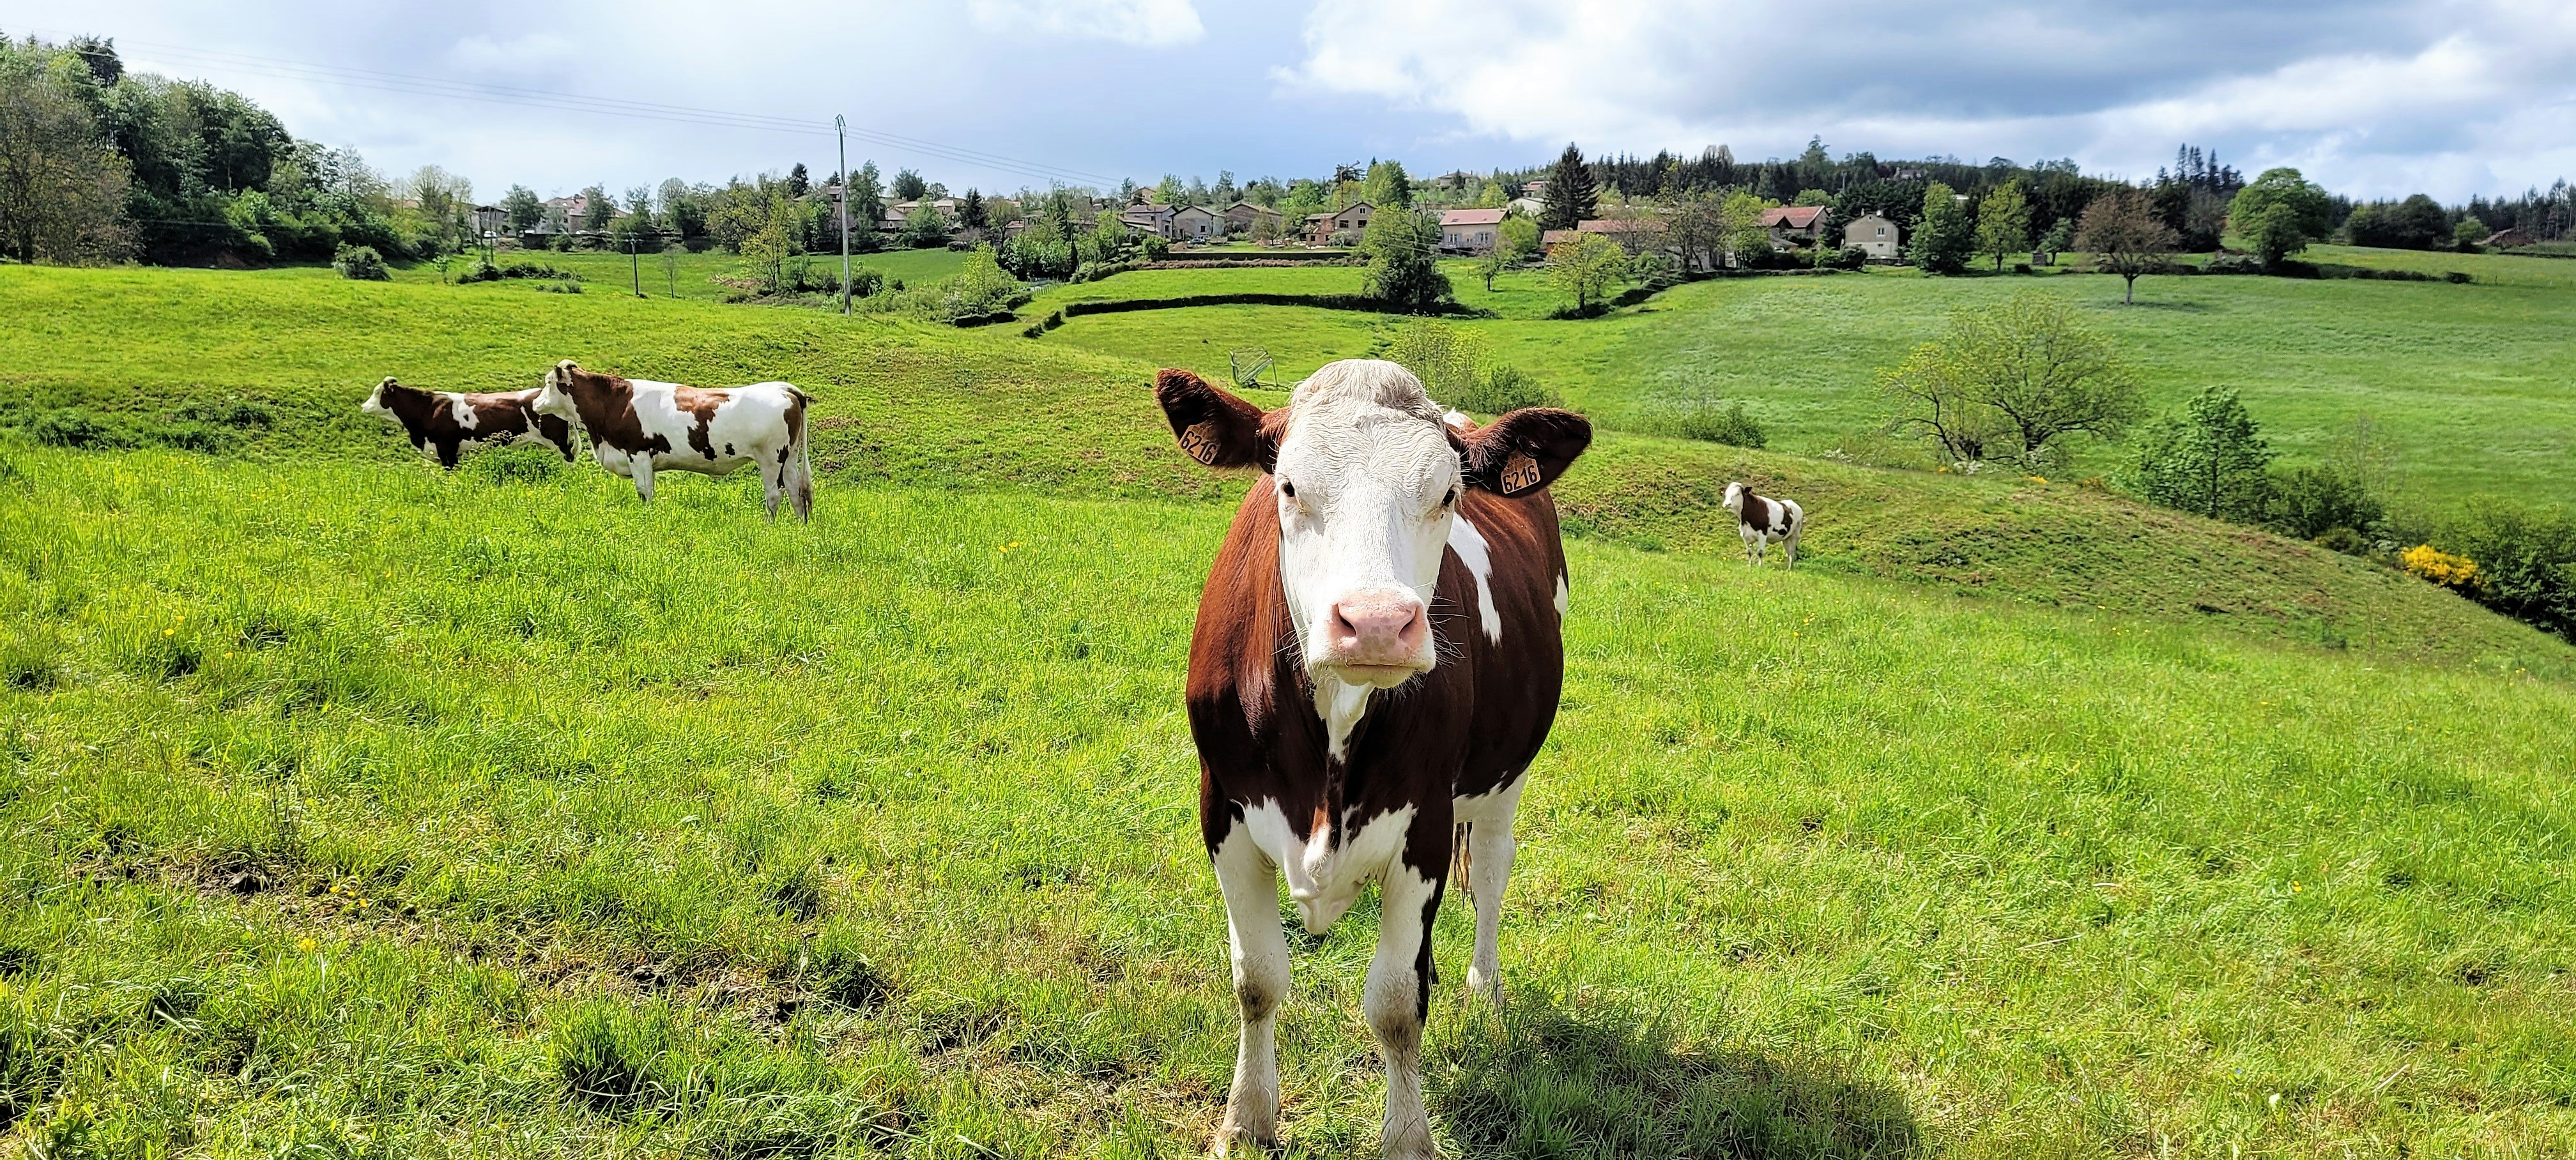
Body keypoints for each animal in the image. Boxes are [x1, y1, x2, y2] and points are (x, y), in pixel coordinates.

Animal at [532, 360, 815, 522]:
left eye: (548, 382)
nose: (535, 404)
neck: (615, 403)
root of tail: (783, 388)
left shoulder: (638, 455)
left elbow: (645, 493)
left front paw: (647, 520)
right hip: (789, 458)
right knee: (796, 492)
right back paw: (799, 527)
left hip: (771, 458)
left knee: (775, 494)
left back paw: (769, 526)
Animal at [1155, 360, 1590, 1159]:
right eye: (1288, 486)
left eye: (1447, 493)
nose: (1378, 623)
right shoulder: (1222, 809)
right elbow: (1256, 979)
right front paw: (1246, 1118)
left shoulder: (1425, 821)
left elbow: (1393, 1003)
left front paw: (1408, 1136)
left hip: (1506, 773)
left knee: (1492, 866)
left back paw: (1483, 984)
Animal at [1723, 480, 1803, 568]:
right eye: (1726, 494)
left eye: (1737, 494)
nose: (1727, 504)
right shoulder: (1745, 535)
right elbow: (1749, 553)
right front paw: (1750, 566)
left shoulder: (1762, 534)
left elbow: (1760, 552)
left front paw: (1760, 567)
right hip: (1786, 538)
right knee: (1788, 552)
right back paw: (1789, 568)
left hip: (1795, 534)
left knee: (1792, 552)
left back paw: (1791, 568)